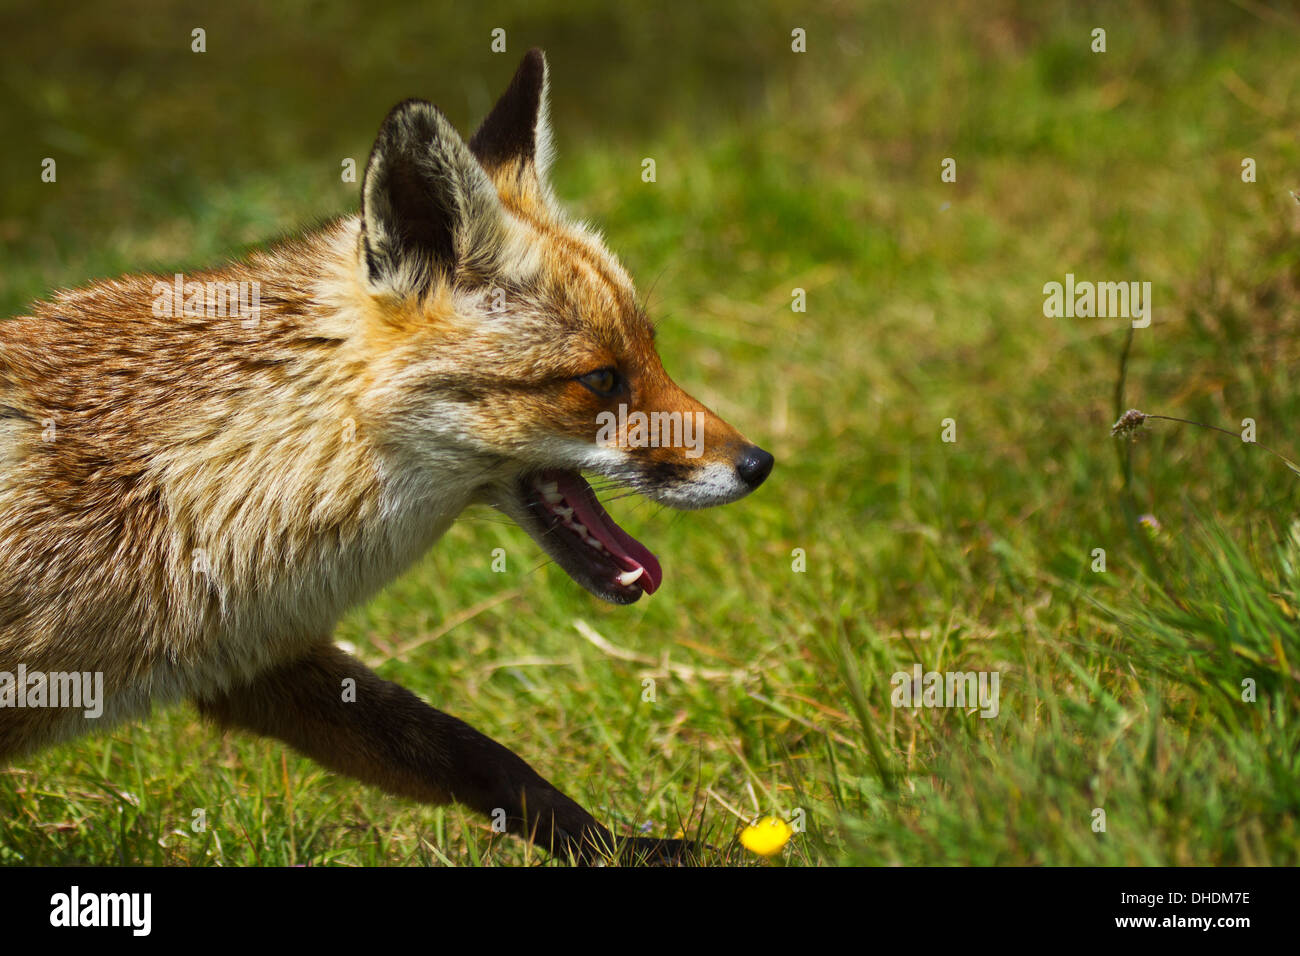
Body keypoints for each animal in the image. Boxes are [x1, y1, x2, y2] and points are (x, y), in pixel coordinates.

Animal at [0, 49, 772, 864]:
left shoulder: (258, 659)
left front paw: (625, 850)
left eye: (652, 350)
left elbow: (482, 759)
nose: (759, 465)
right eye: (600, 379)